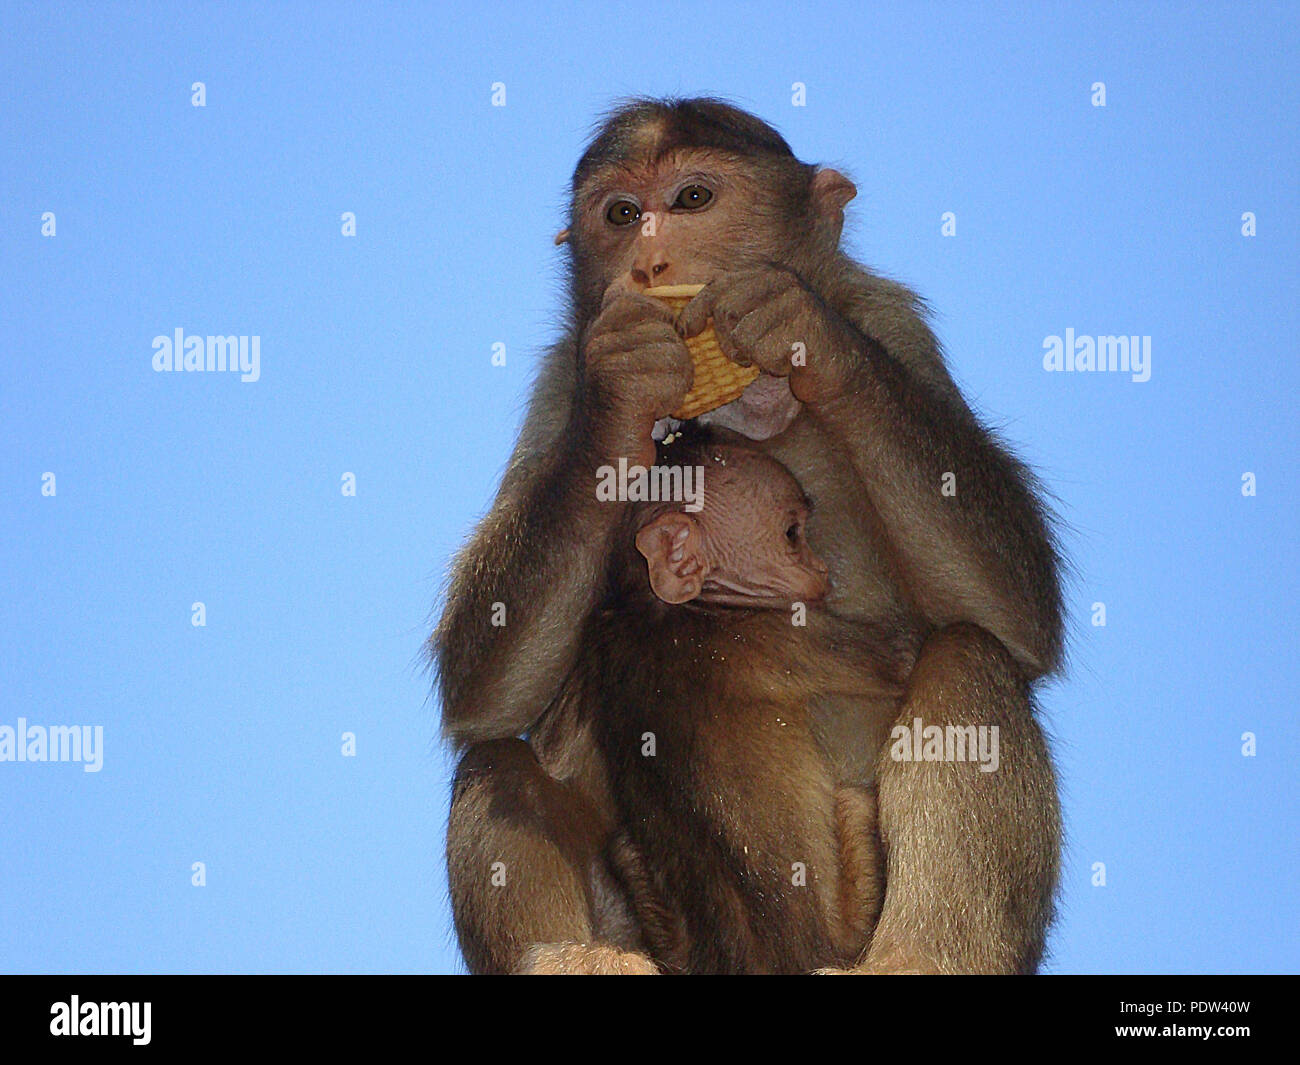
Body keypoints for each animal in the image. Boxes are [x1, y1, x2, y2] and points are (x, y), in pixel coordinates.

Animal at [434, 97, 1062, 975]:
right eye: (621, 215)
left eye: (693, 198)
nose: (649, 265)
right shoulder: (563, 376)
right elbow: (483, 685)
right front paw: (624, 382)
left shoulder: (889, 318)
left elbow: (1014, 612)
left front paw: (796, 326)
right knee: (494, 752)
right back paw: (576, 959)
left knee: (971, 650)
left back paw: (922, 957)